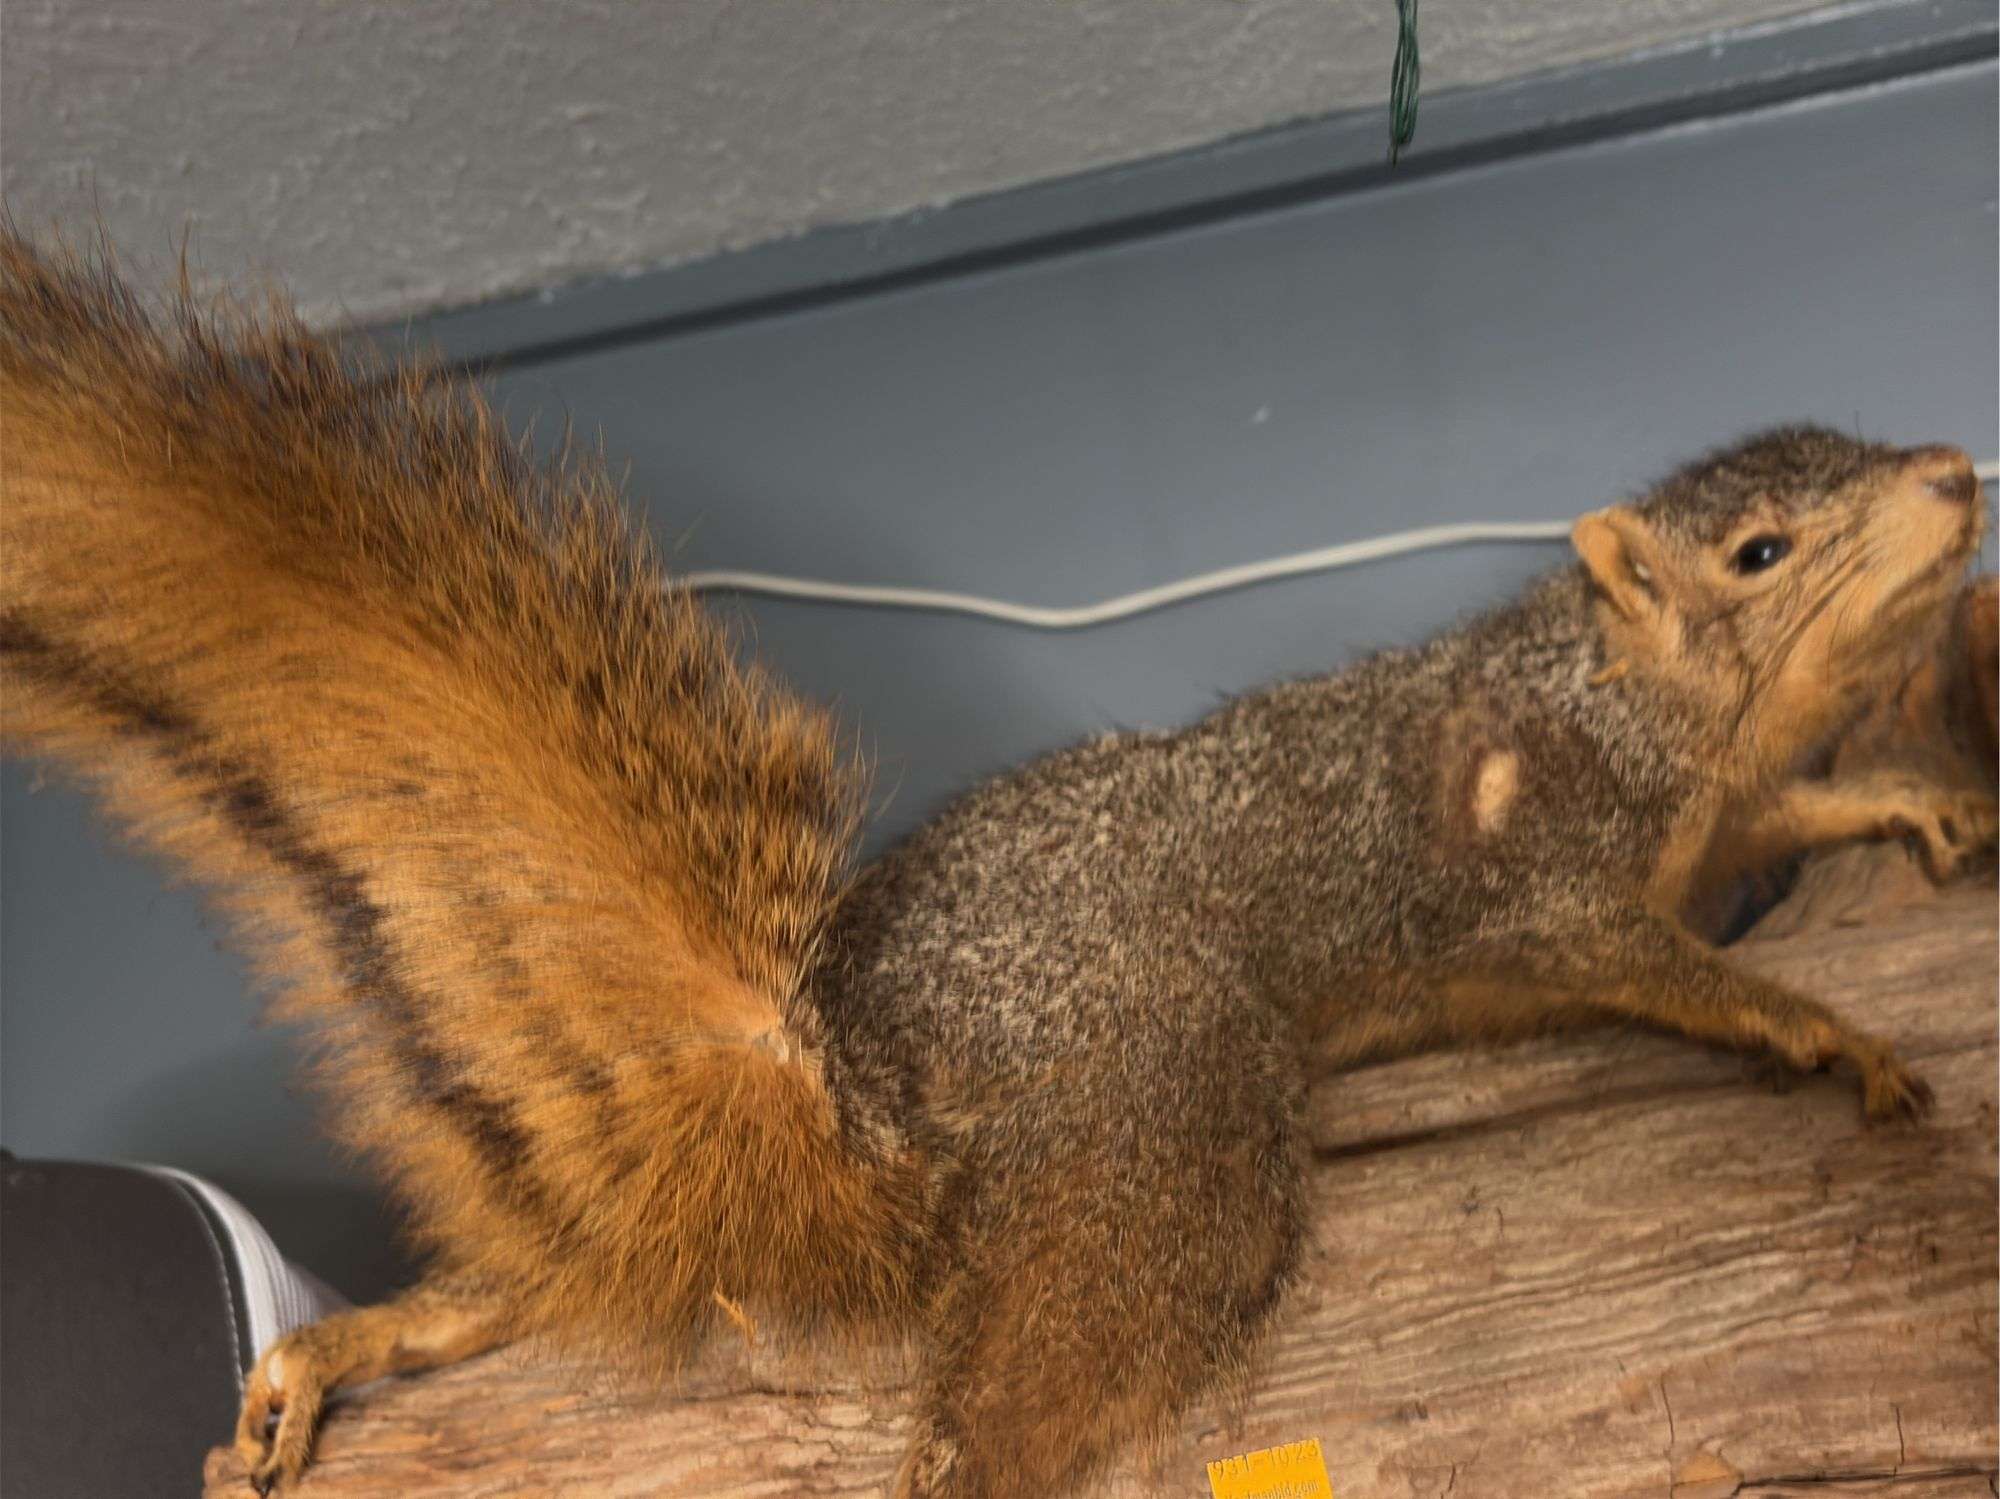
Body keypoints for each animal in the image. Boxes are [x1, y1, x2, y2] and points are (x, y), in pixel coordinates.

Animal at [2, 230, 1993, 1498]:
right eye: (1759, 547)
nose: (1959, 472)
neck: (1640, 701)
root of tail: (856, 1058)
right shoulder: (1543, 857)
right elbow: (1647, 952)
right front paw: (1822, 1024)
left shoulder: (1722, 816)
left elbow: (1787, 830)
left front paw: (1904, 807)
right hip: (1148, 1111)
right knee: (1038, 1368)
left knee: (594, 1273)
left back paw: (351, 1344)